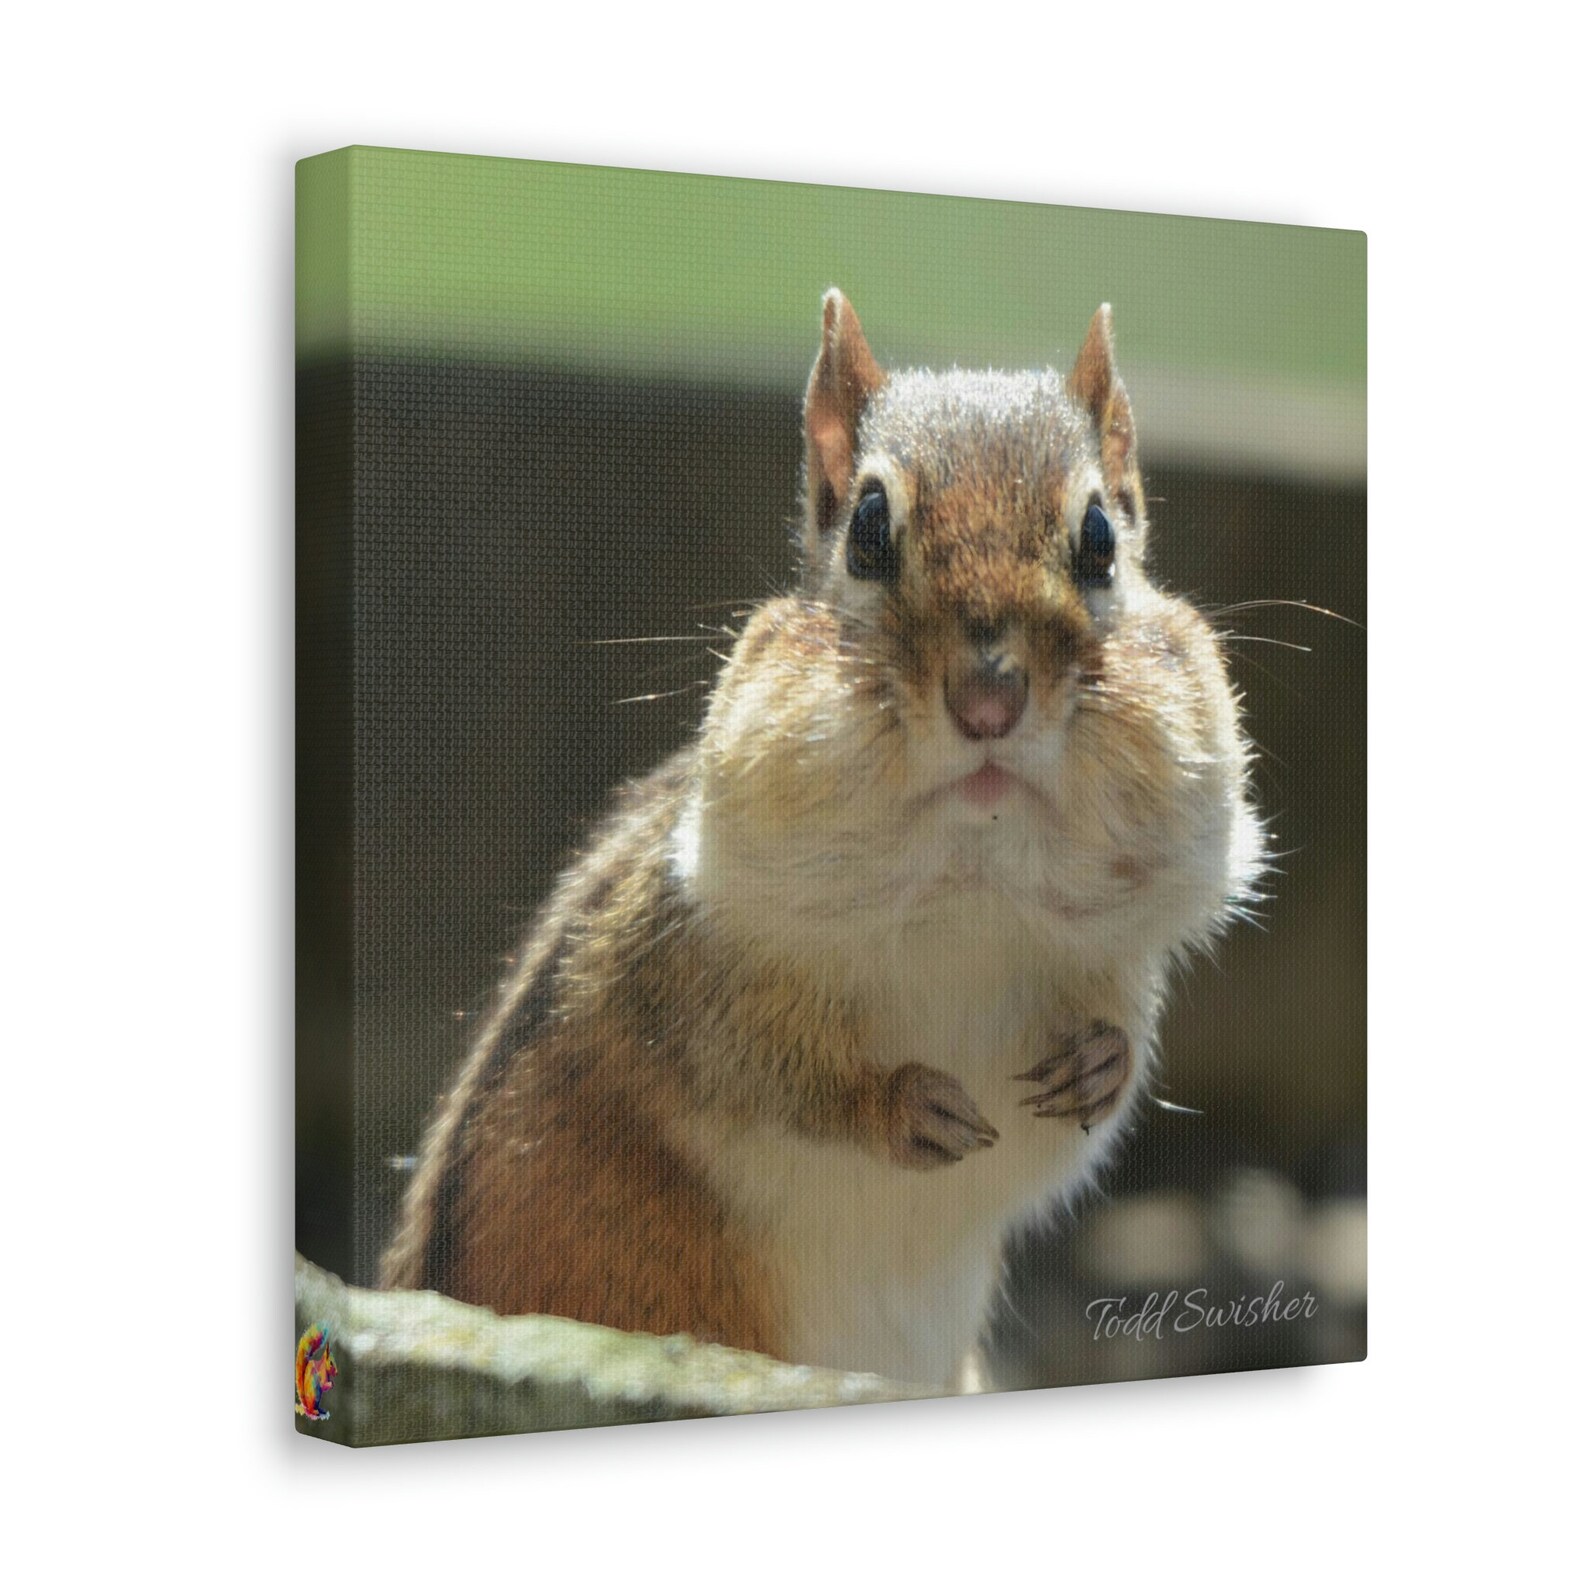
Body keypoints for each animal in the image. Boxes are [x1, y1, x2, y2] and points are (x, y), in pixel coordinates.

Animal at [381, 291, 1264, 1388]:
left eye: (1100, 537)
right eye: (870, 532)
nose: (987, 700)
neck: (972, 887)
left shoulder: (1125, 951)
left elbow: (1122, 1050)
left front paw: (1099, 1063)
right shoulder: (681, 966)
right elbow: (757, 1065)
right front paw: (894, 1104)